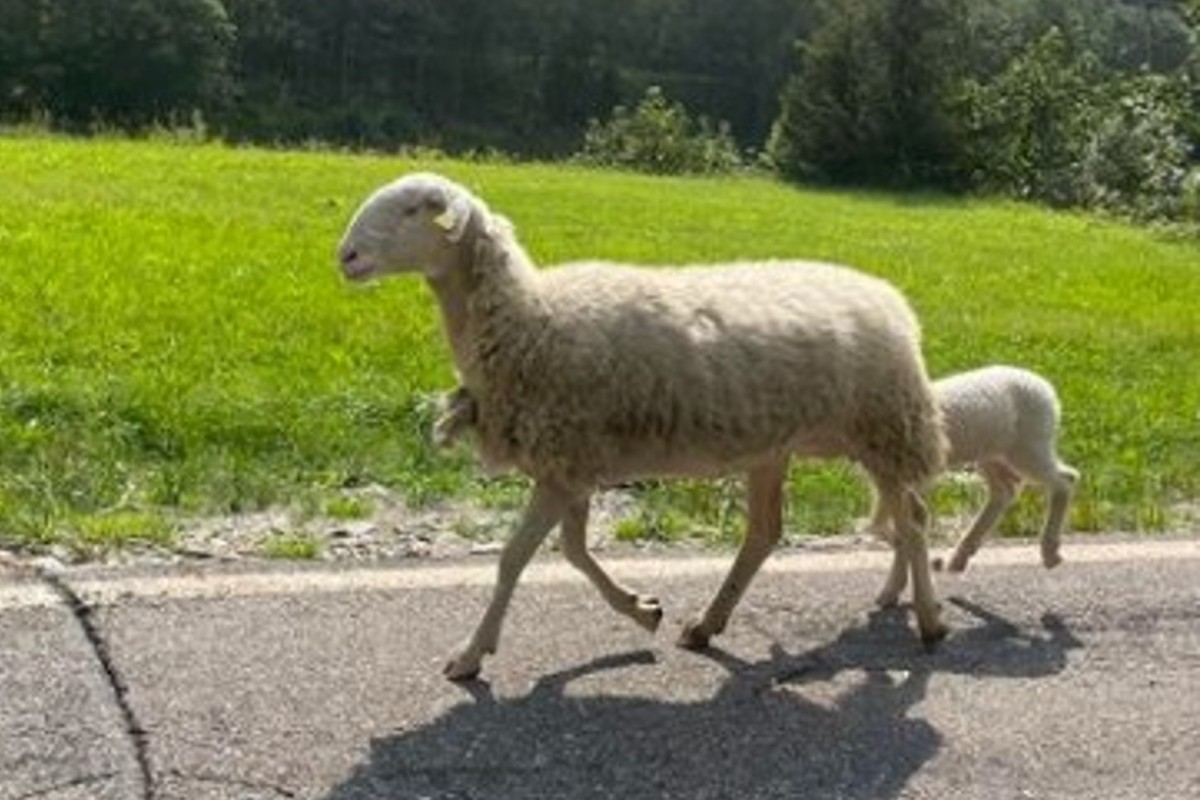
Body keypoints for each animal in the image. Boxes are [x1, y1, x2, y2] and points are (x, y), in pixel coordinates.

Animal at [336, 172, 948, 680]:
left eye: (415, 208)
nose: (345, 255)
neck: (529, 320)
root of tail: (894, 302)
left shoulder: (564, 461)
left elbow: (514, 558)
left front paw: (469, 655)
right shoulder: (570, 462)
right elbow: (573, 552)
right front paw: (641, 610)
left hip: (884, 423)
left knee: (913, 518)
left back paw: (928, 621)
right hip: (782, 445)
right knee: (768, 531)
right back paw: (707, 625)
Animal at [867, 365, 1080, 573]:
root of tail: (1047, 389)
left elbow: (881, 522)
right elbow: (881, 520)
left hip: (1028, 446)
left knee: (1065, 480)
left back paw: (1050, 552)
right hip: (992, 454)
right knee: (1004, 491)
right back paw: (959, 557)